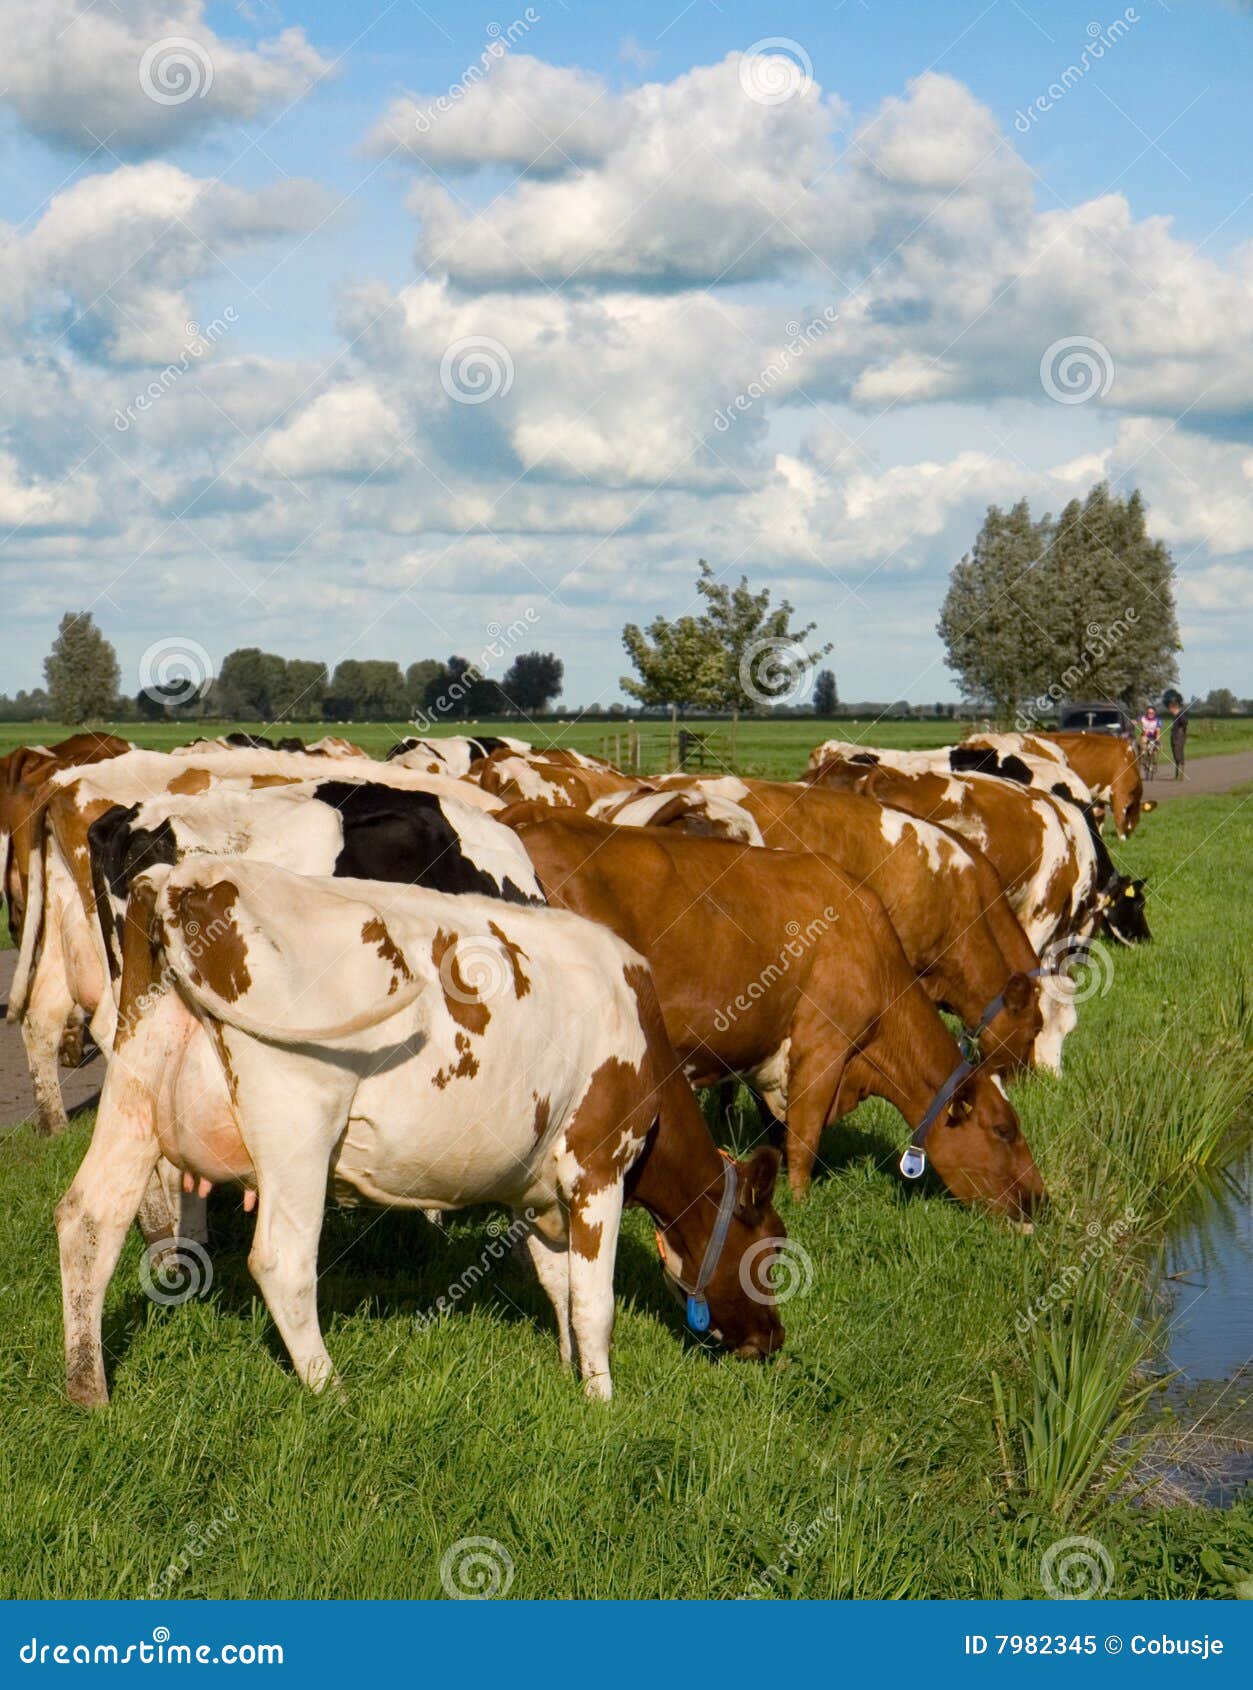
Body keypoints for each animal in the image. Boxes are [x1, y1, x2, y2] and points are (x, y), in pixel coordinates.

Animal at [56, 857, 786, 1406]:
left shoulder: (537, 1188)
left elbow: (557, 1284)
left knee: (89, 1221)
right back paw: (333, 1393)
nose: (772, 1342)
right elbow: (593, 1299)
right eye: (773, 1254)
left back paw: (89, 1393)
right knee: (281, 1262)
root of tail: (187, 876)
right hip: (299, 1121)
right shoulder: (597, 1164)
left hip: (134, 1088)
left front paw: (564, 1369)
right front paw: (601, 1400)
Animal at [504, 810, 1045, 1215]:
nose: (1039, 1201)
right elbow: (803, 1139)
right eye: (1004, 1130)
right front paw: (802, 1205)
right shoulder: (822, 1048)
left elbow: (777, 1130)